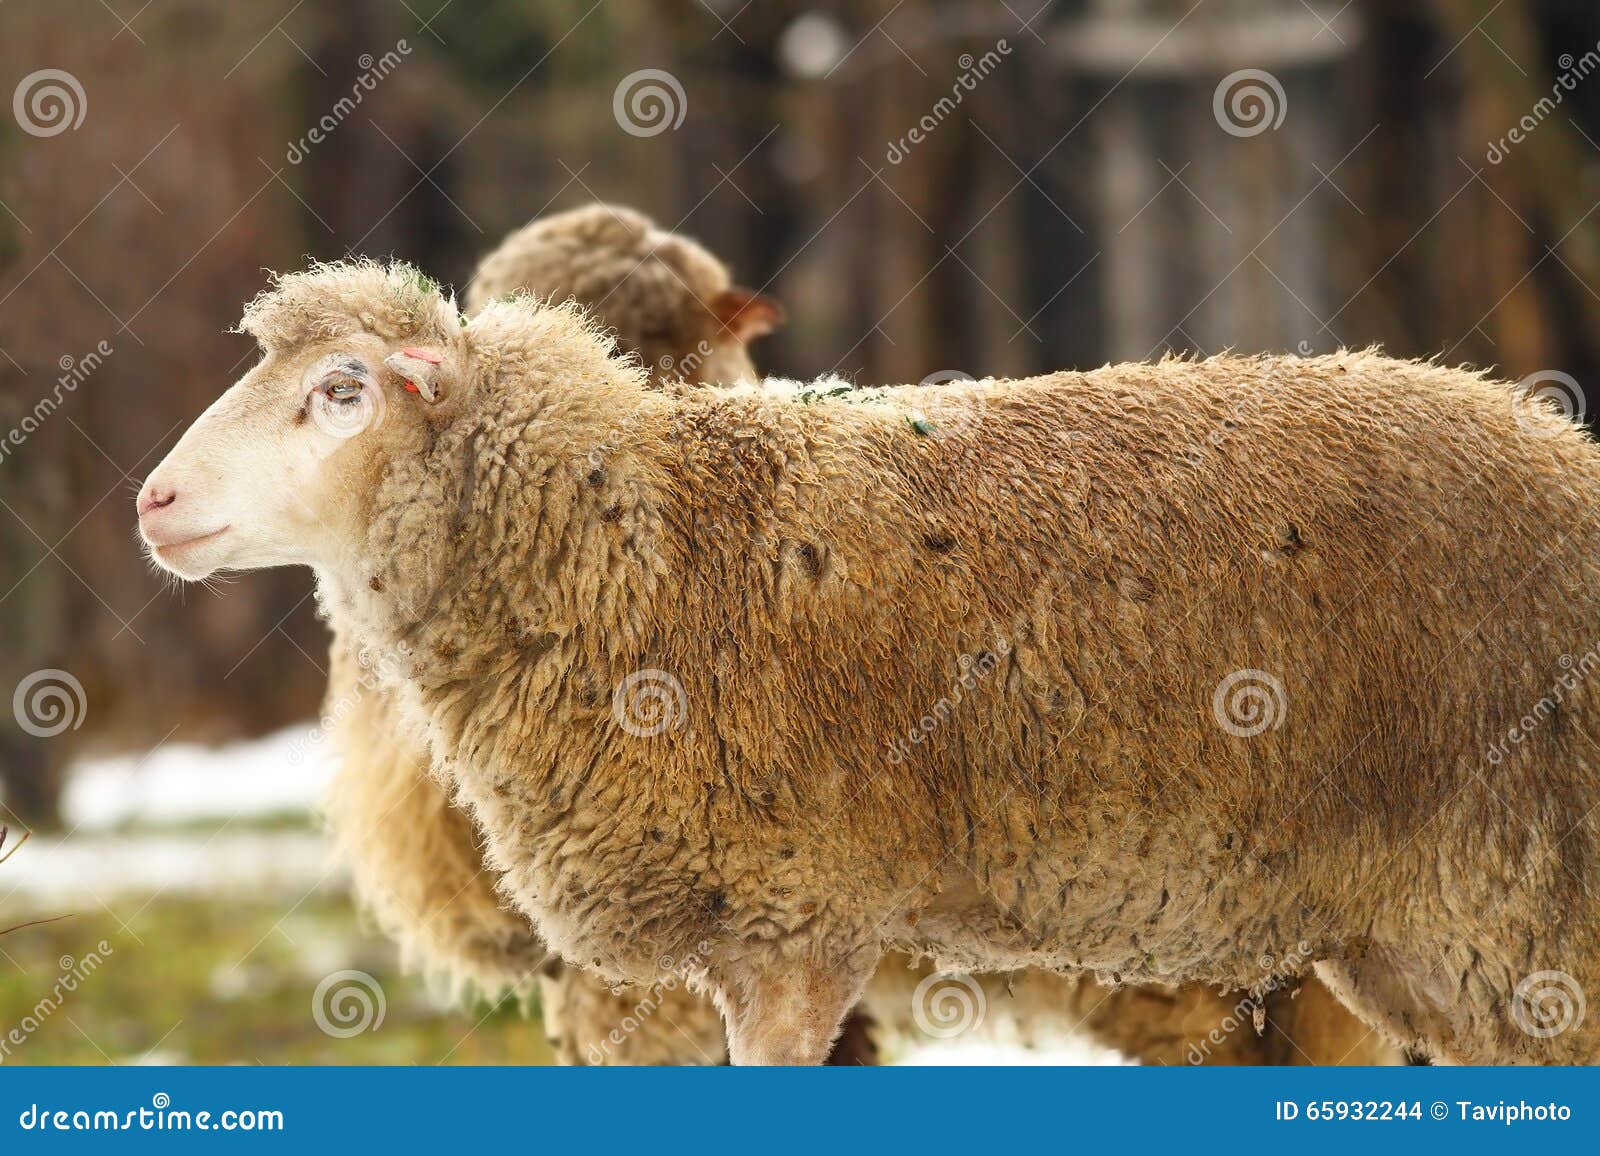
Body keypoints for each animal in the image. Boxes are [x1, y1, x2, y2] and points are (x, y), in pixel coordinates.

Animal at [138, 261, 1600, 1065]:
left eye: (342, 390)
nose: (153, 502)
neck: (640, 540)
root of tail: (1562, 451)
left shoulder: (794, 925)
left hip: (1519, 897)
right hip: (1408, 944)